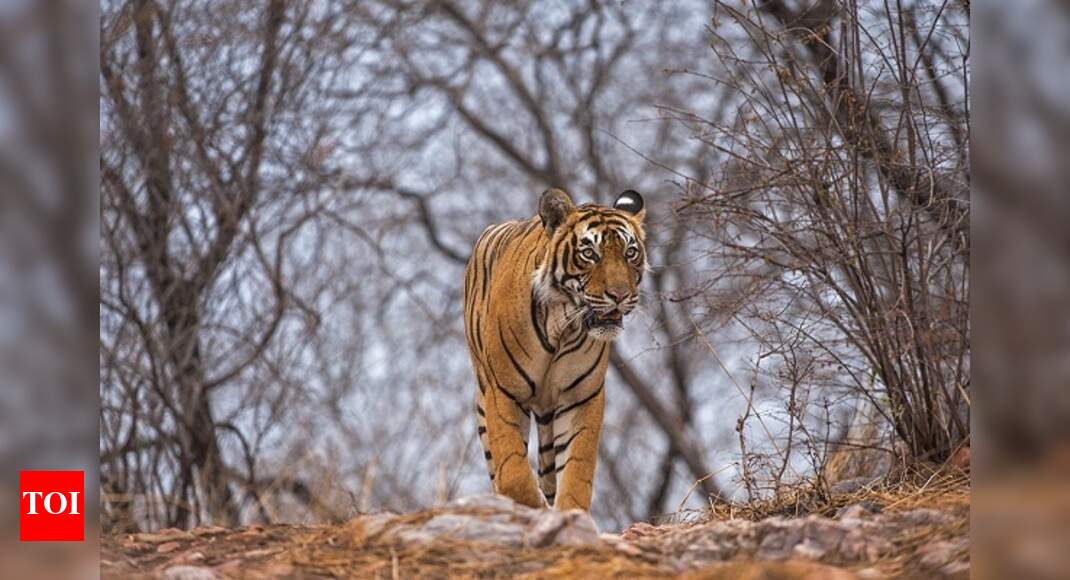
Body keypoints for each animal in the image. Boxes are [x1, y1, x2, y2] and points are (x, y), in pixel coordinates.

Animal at [463, 188, 647, 511]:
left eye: (630, 252)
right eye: (589, 253)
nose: (620, 295)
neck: (561, 323)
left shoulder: (581, 397)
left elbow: (576, 474)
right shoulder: (504, 392)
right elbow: (513, 473)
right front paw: (535, 509)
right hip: (484, 401)